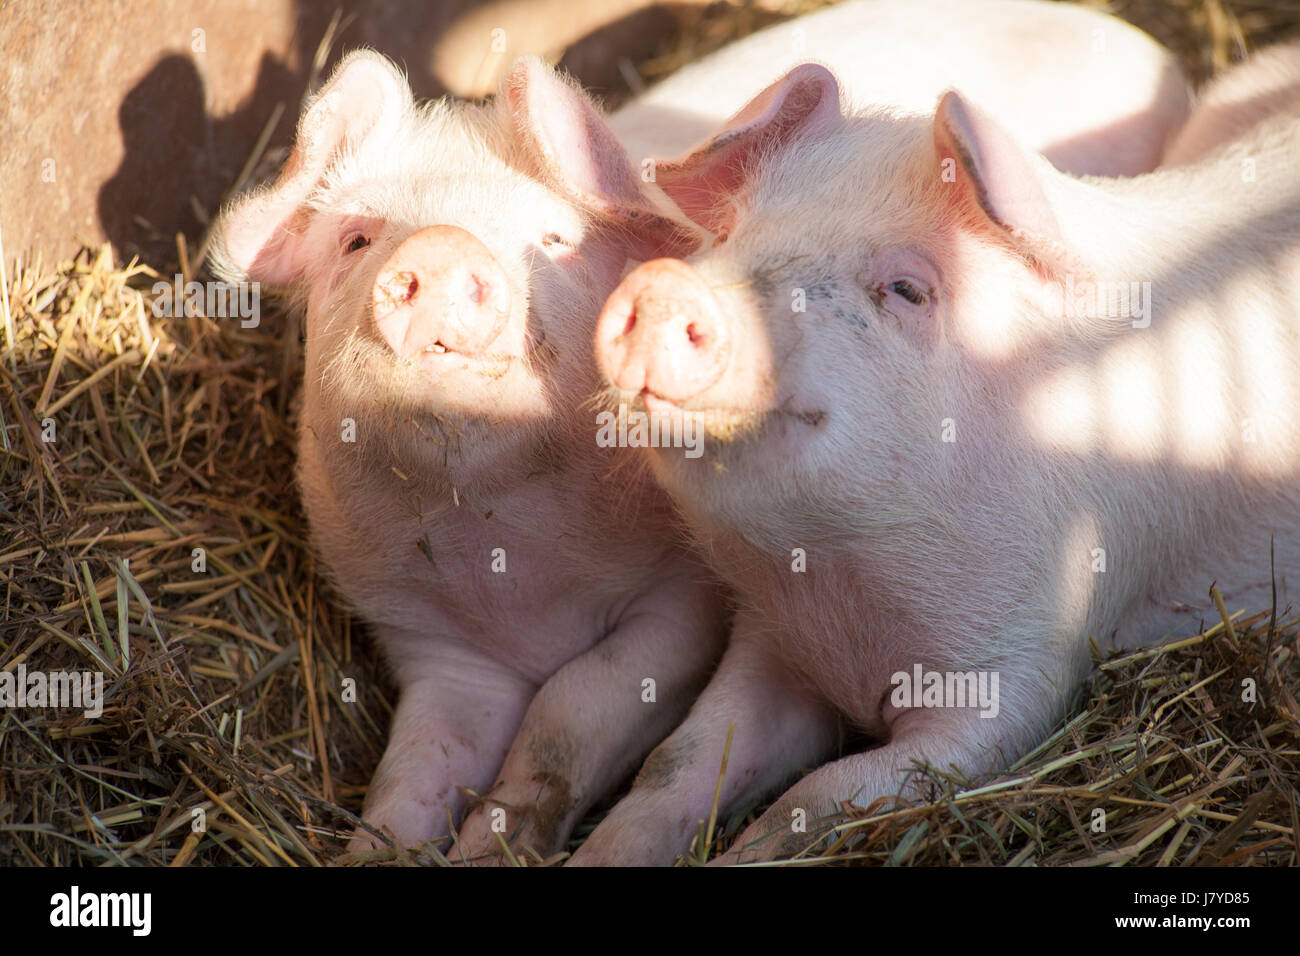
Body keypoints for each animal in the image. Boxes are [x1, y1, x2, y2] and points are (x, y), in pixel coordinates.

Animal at [584, 61, 1300, 865]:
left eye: (908, 290)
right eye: (730, 232)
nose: (664, 286)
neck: (845, 595)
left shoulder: (1025, 666)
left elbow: (820, 794)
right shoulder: (769, 641)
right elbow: (676, 761)